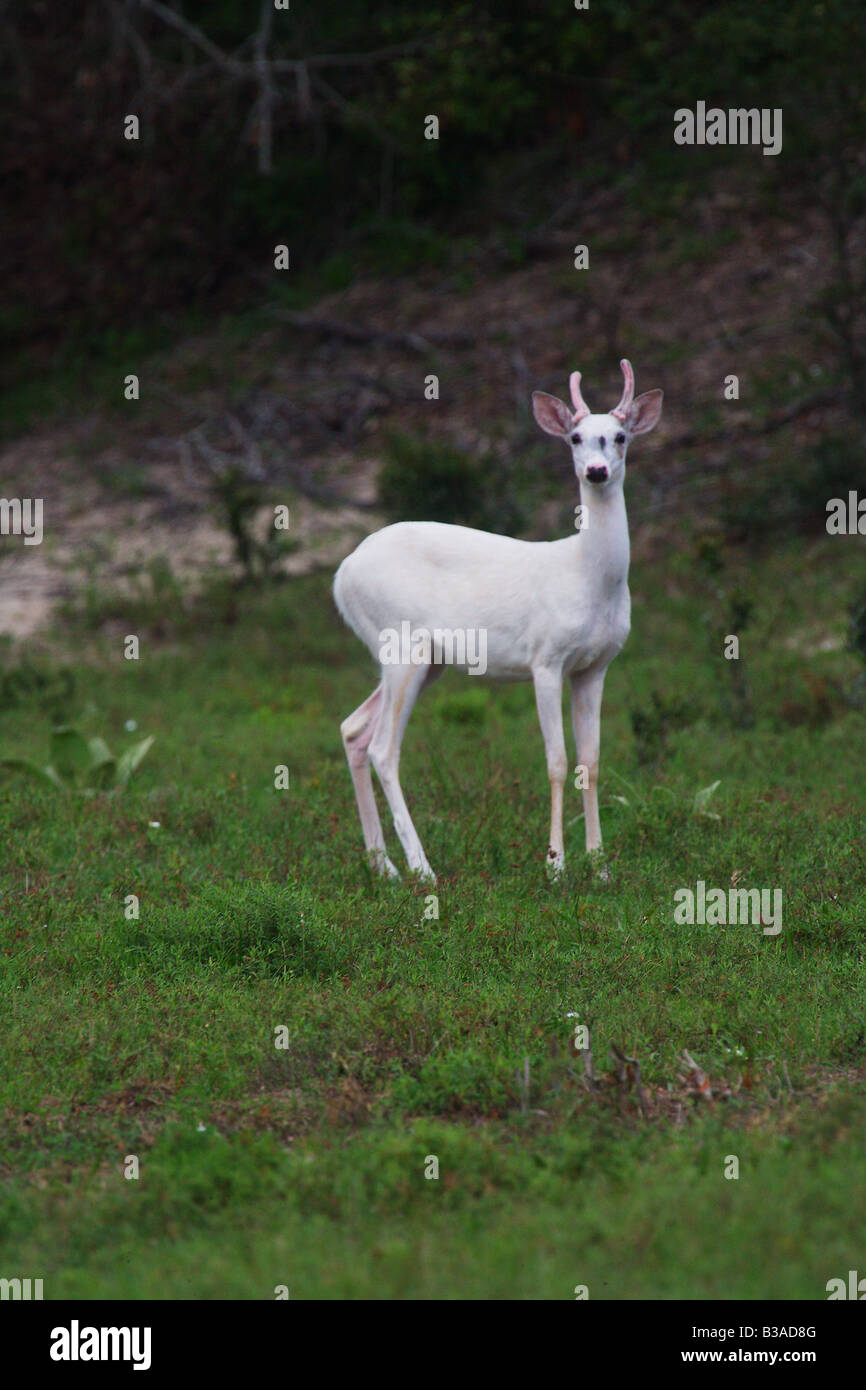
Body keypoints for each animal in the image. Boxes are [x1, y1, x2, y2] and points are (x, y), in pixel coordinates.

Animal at [333, 359, 663, 883]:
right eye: (575, 437)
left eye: (620, 436)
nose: (596, 471)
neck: (587, 577)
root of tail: (342, 574)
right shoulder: (545, 659)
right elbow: (556, 761)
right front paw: (555, 866)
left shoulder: (595, 666)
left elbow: (590, 762)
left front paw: (600, 867)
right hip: (401, 644)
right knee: (384, 748)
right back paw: (423, 870)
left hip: (425, 660)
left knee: (353, 730)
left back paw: (383, 867)